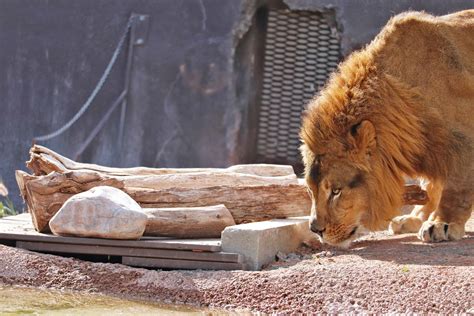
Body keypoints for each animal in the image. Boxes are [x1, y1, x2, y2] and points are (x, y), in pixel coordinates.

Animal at [302, 9, 472, 247]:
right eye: (310, 190)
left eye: (336, 191)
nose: (315, 230)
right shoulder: (434, 147)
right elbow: (433, 185)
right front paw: (416, 218)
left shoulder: (462, 138)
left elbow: (455, 188)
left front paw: (442, 223)